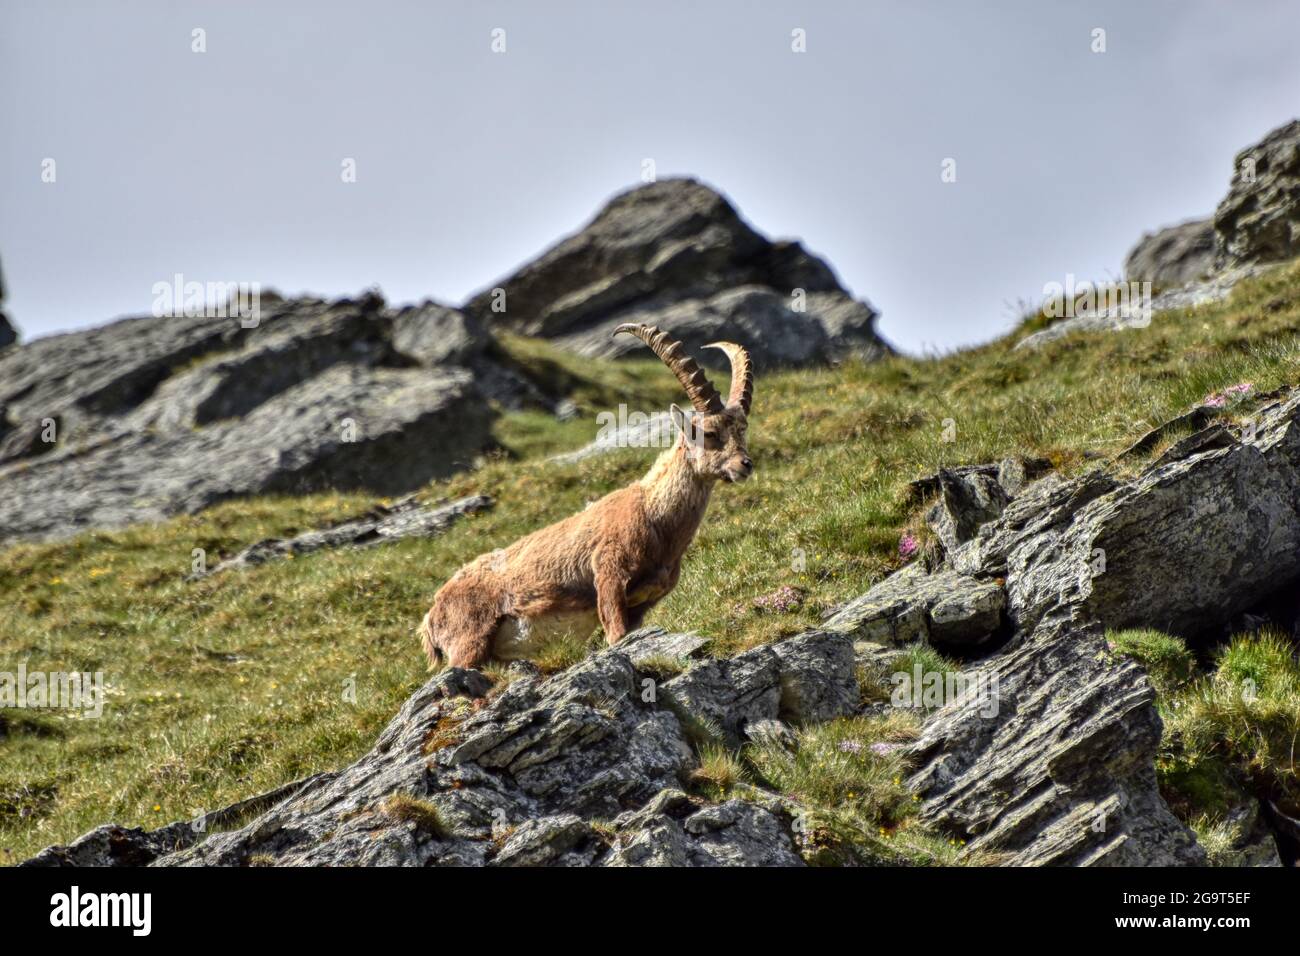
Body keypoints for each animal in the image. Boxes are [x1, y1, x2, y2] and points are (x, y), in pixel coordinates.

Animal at [419, 323, 753, 668]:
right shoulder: (608, 577)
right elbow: (616, 635)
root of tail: (431, 616)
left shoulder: (642, 604)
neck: (654, 514)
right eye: (709, 433)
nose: (745, 465)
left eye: (742, 430)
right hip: (468, 642)